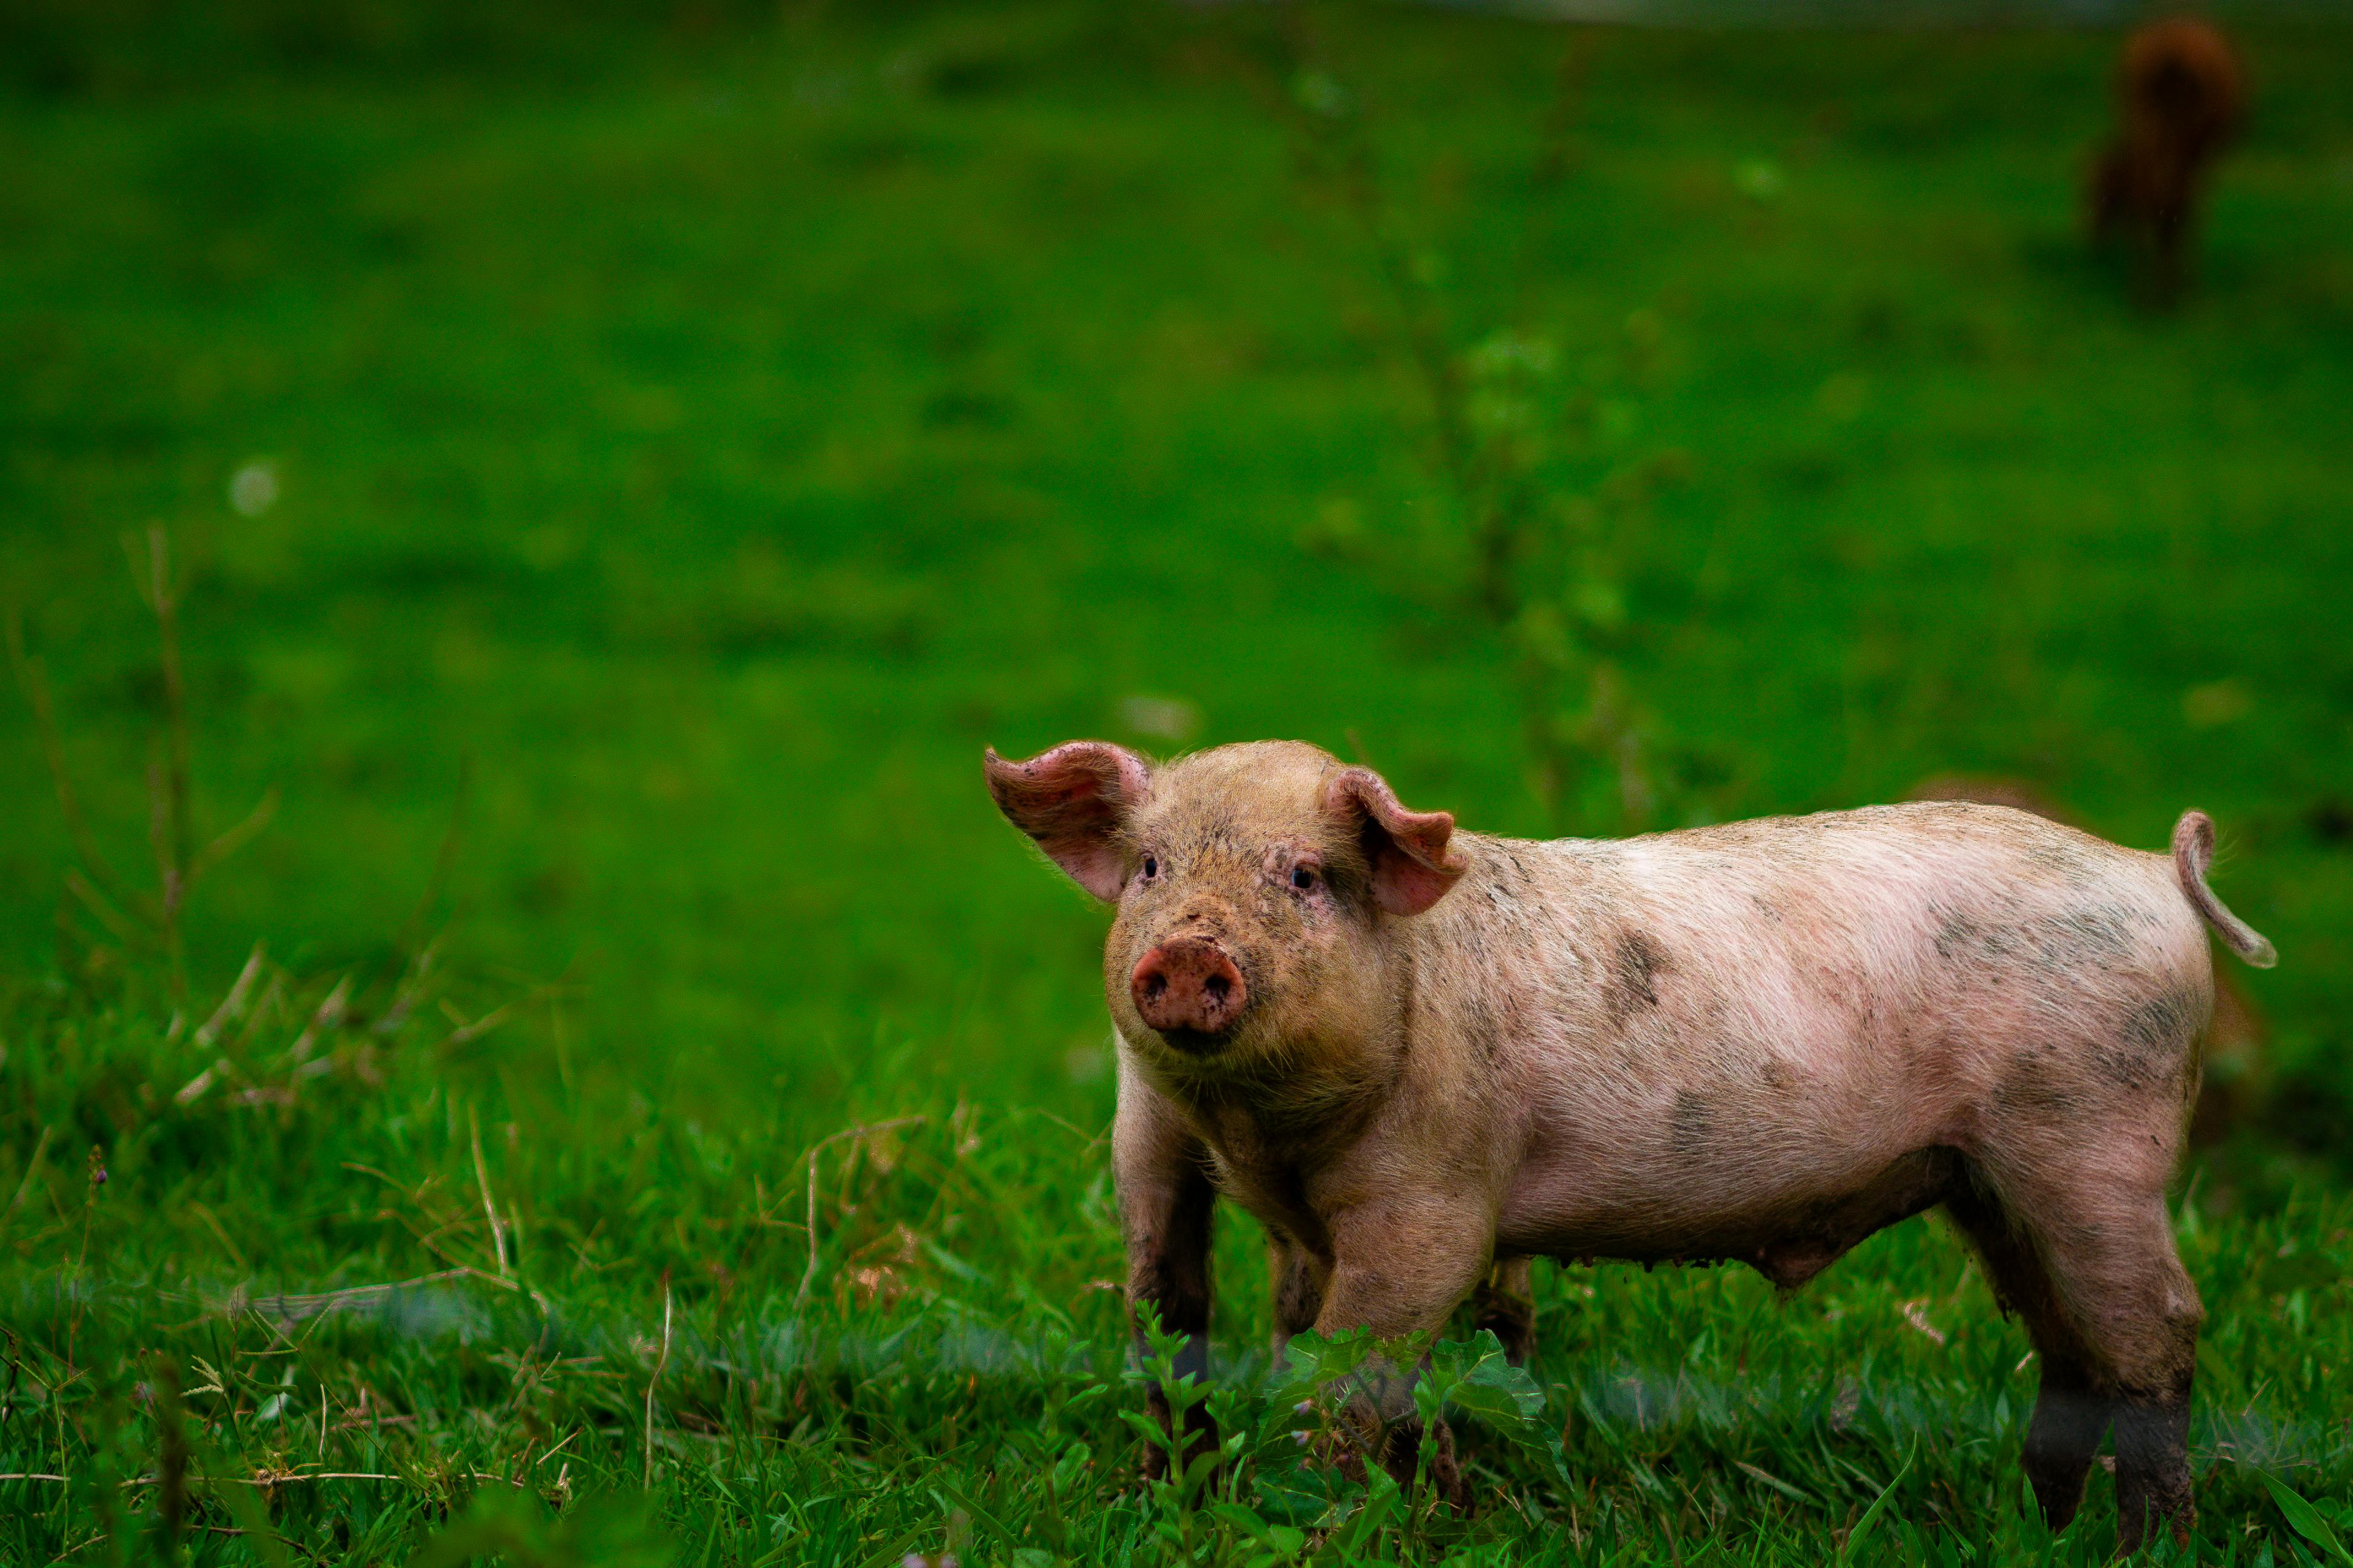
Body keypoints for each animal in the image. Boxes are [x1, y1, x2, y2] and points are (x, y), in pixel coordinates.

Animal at [986, 739, 2279, 1550]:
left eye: (1303, 875)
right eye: (1150, 867)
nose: (1186, 952)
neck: (1255, 1129)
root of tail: (2151, 872)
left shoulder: (1432, 1196)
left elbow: (1351, 1367)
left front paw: (1331, 1524)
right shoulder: (1150, 1142)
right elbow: (1169, 1317)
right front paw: (1171, 1504)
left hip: (2093, 1134)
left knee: (2153, 1331)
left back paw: (2143, 1545)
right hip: (1990, 1175)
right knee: (2065, 1340)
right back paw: (2040, 1525)